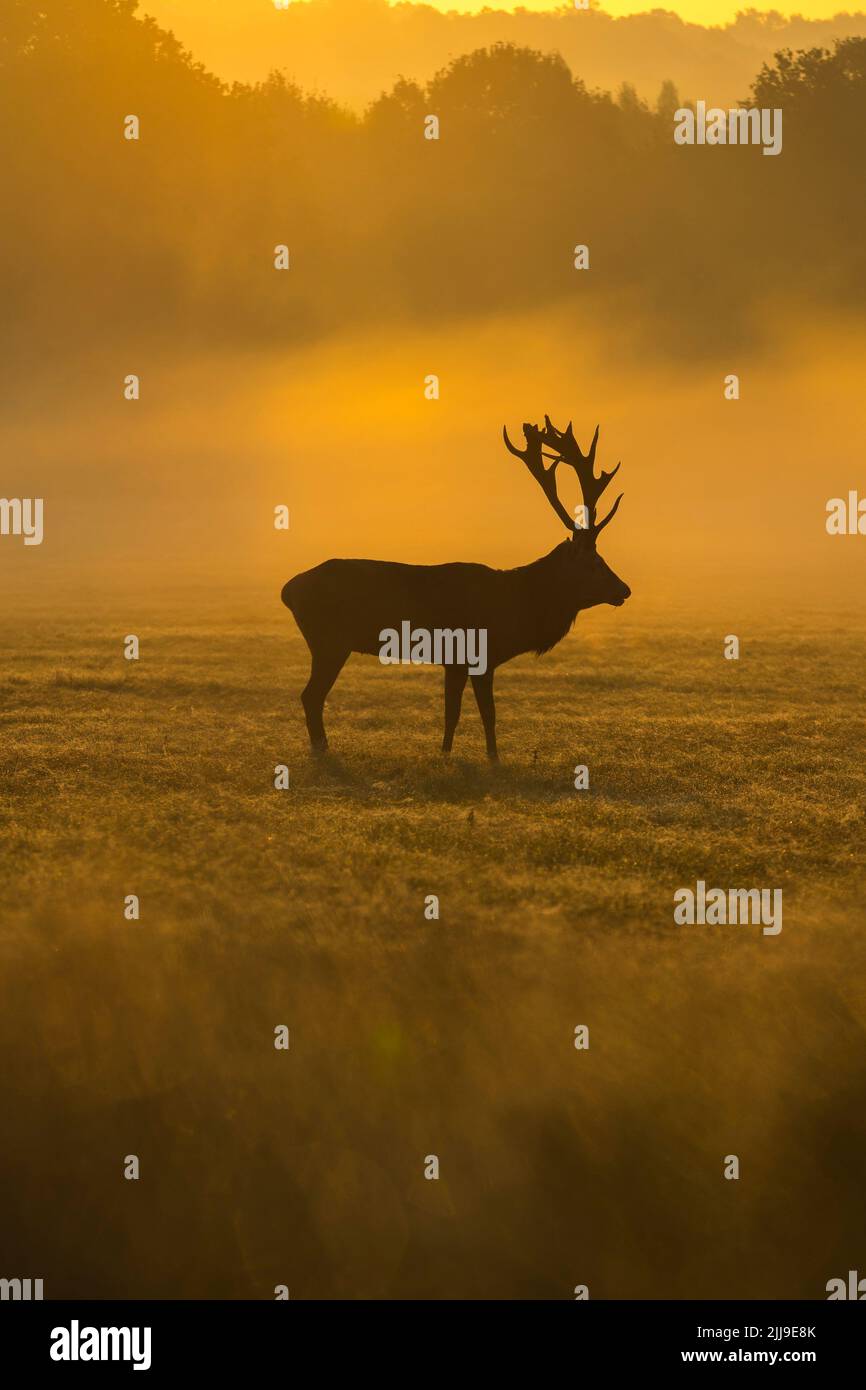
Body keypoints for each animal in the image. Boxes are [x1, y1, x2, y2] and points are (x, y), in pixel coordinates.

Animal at [281, 417, 630, 760]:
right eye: (594, 562)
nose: (624, 590)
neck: (517, 606)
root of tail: (288, 590)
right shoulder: (479, 653)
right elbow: (488, 713)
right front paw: (494, 758)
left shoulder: (455, 662)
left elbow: (452, 712)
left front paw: (445, 753)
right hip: (329, 642)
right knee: (310, 696)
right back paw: (322, 749)